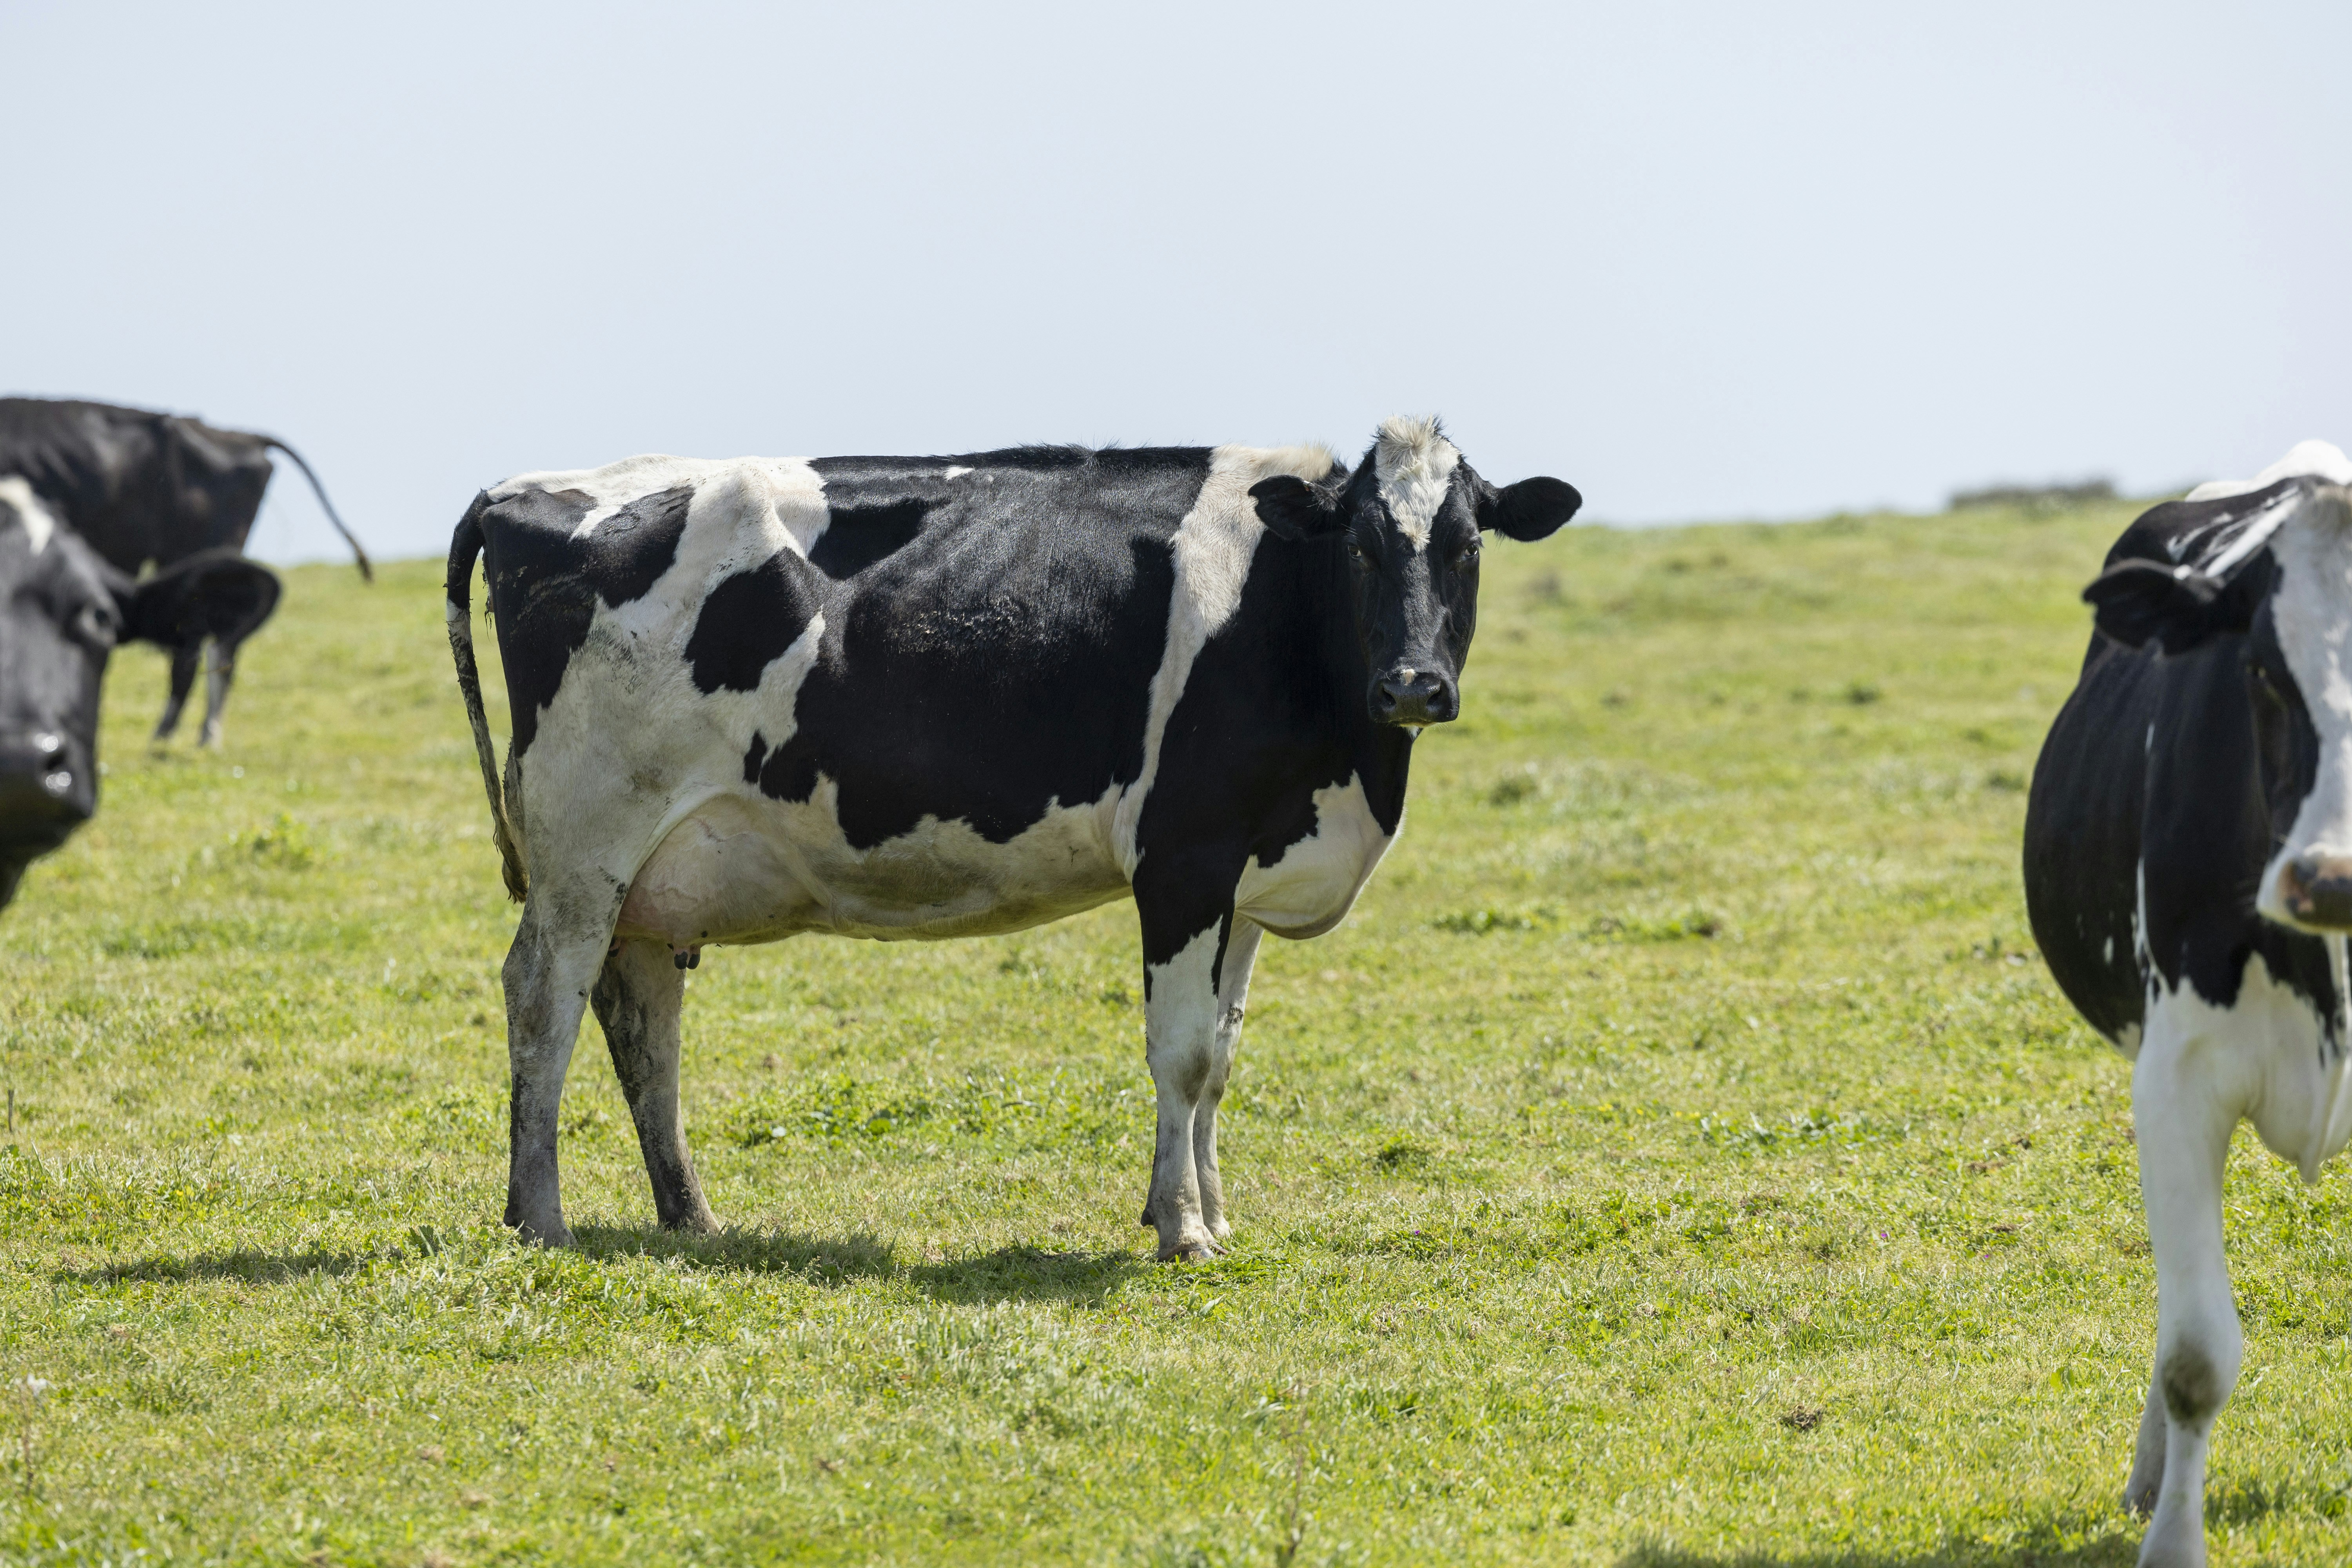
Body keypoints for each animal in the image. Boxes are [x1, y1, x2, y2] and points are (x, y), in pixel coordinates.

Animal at [446, 418, 1580, 1258]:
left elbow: (1222, 1055)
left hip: (651, 869)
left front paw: (1211, 1210)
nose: (1414, 686)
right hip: (584, 842)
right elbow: (1181, 1052)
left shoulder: (1252, 872)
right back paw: (539, 1217)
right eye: (1361, 546)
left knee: (642, 1021)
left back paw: (692, 1219)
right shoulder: (1185, 857)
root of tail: (522, 489)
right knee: (543, 998)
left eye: (1467, 545)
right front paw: (1180, 1229)